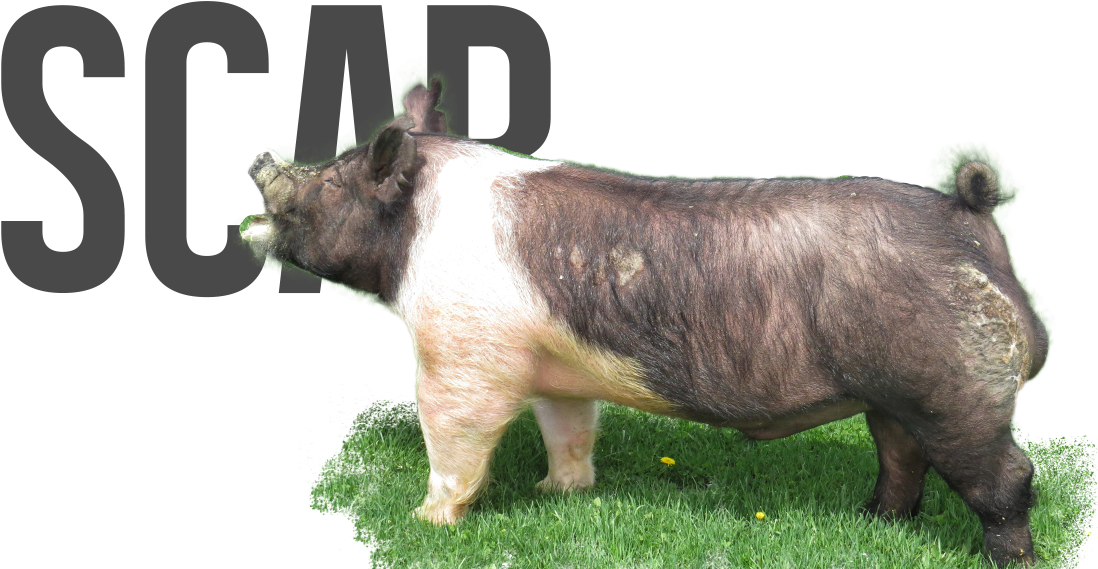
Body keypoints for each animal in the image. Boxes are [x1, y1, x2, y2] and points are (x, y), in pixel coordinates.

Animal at [241, 78, 1049, 567]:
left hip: (957, 389)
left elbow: (454, 431)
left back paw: (1006, 559)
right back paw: (875, 522)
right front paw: (558, 493)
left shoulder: (461, 349)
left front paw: (425, 521)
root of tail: (969, 216)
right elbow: (568, 424)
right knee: (902, 457)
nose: (259, 158)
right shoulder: (553, 363)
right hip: (897, 396)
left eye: (326, 181)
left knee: (1006, 475)